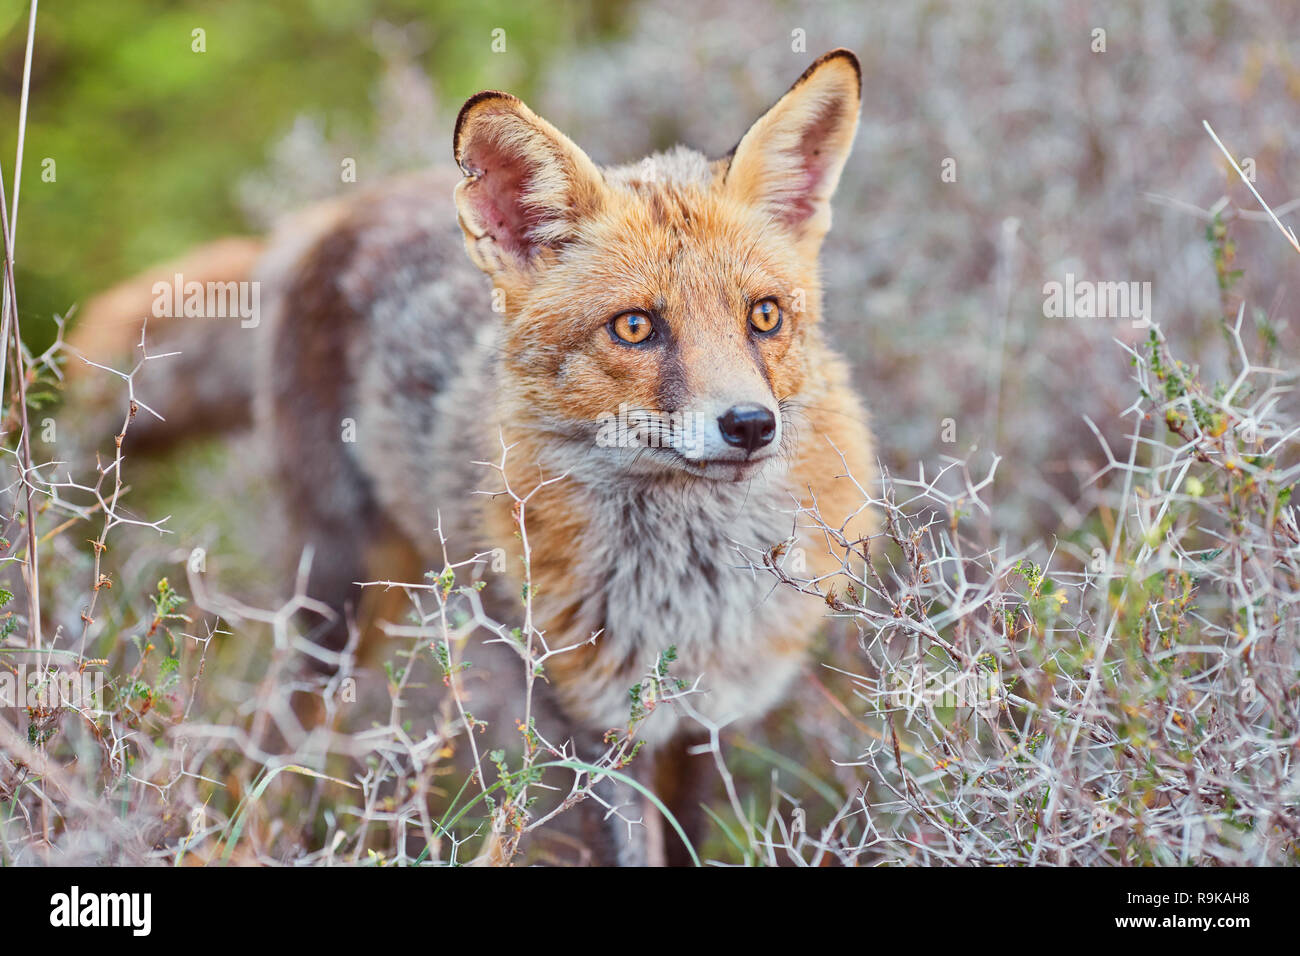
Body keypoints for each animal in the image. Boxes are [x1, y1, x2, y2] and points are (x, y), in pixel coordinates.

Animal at [72, 48, 876, 865]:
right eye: (635, 327)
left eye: (764, 316)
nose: (749, 425)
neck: (692, 591)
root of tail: (333, 214)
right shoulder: (592, 728)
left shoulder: (708, 721)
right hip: (338, 608)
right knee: (272, 747)